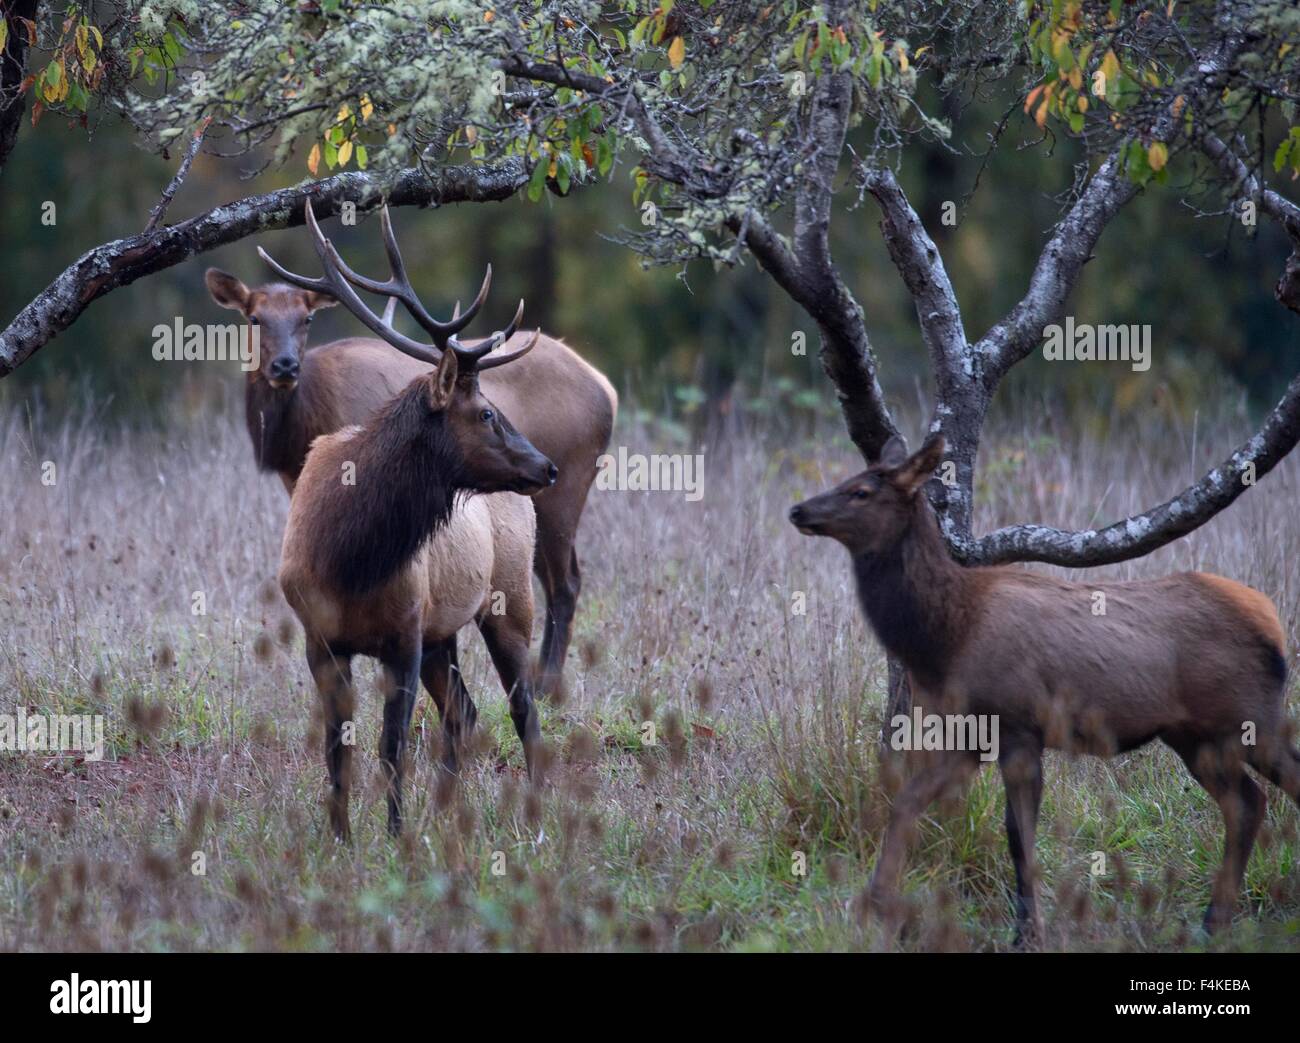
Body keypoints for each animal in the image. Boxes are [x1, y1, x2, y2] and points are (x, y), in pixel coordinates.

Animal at [205, 203, 616, 699]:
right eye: (254, 319)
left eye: (306, 320)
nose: (284, 367)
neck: (298, 434)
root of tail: (606, 387)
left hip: (566, 488)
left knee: (565, 583)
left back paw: (545, 686)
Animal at [265, 210, 557, 840]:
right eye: (487, 412)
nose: (547, 466)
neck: (348, 557)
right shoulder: (320, 638)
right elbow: (338, 747)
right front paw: (341, 838)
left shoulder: (404, 634)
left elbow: (391, 744)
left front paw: (396, 838)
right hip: (443, 629)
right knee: (464, 711)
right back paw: (446, 813)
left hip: (509, 597)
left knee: (523, 707)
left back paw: (537, 818)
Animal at [790, 433, 1300, 945]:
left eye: (861, 491)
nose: (797, 509)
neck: (944, 638)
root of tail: (1273, 625)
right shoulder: (973, 737)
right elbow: (906, 802)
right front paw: (875, 904)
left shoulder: (1018, 724)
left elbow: (1019, 837)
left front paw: (1028, 932)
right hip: (1193, 736)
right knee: (1246, 803)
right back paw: (1213, 922)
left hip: (1251, 717)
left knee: (1278, 785)